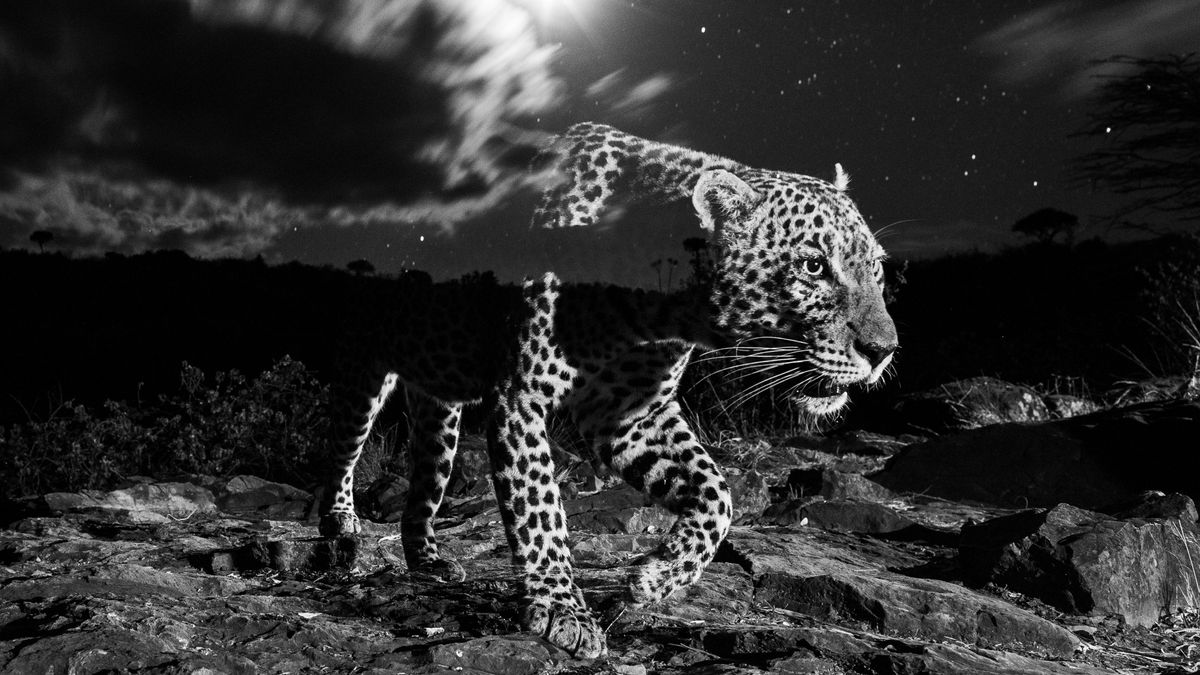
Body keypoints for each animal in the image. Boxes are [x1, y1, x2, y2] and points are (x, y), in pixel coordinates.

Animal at [317, 122, 898, 659]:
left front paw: (656, 577)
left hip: (440, 409)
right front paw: (562, 610)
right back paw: (340, 525)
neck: (663, 308)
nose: (885, 349)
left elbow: (717, 493)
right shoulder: (521, 398)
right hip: (363, 373)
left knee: (425, 481)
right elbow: (540, 509)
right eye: (813, 266)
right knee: (342, 449)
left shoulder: (628, 414)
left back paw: (428, 562)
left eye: (876, 268)